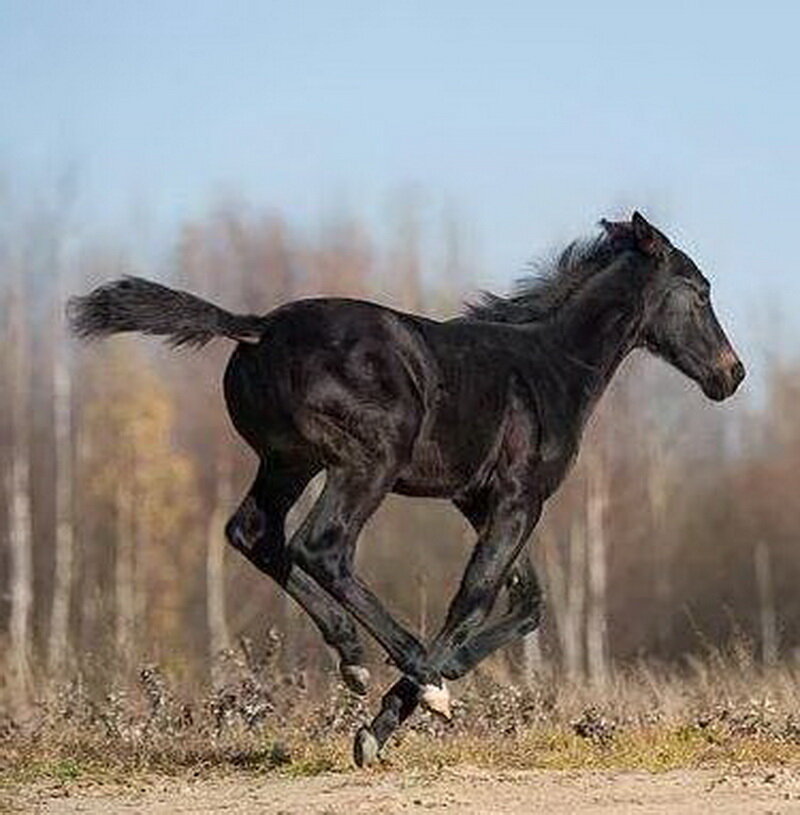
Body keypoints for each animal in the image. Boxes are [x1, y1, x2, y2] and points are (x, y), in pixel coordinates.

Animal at [67, 212, 744, 764]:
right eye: (701, 291)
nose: (731, 375)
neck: (549, 364)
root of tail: (258, 329)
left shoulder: (478, 500)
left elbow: (523, 601)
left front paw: (416, 693)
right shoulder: (519, 498)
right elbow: (474, 595)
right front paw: (399, 714)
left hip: (289, 461)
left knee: (255, 535)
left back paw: (352, 658)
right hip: (368, 460)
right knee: (321, 545)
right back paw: (409, 674)